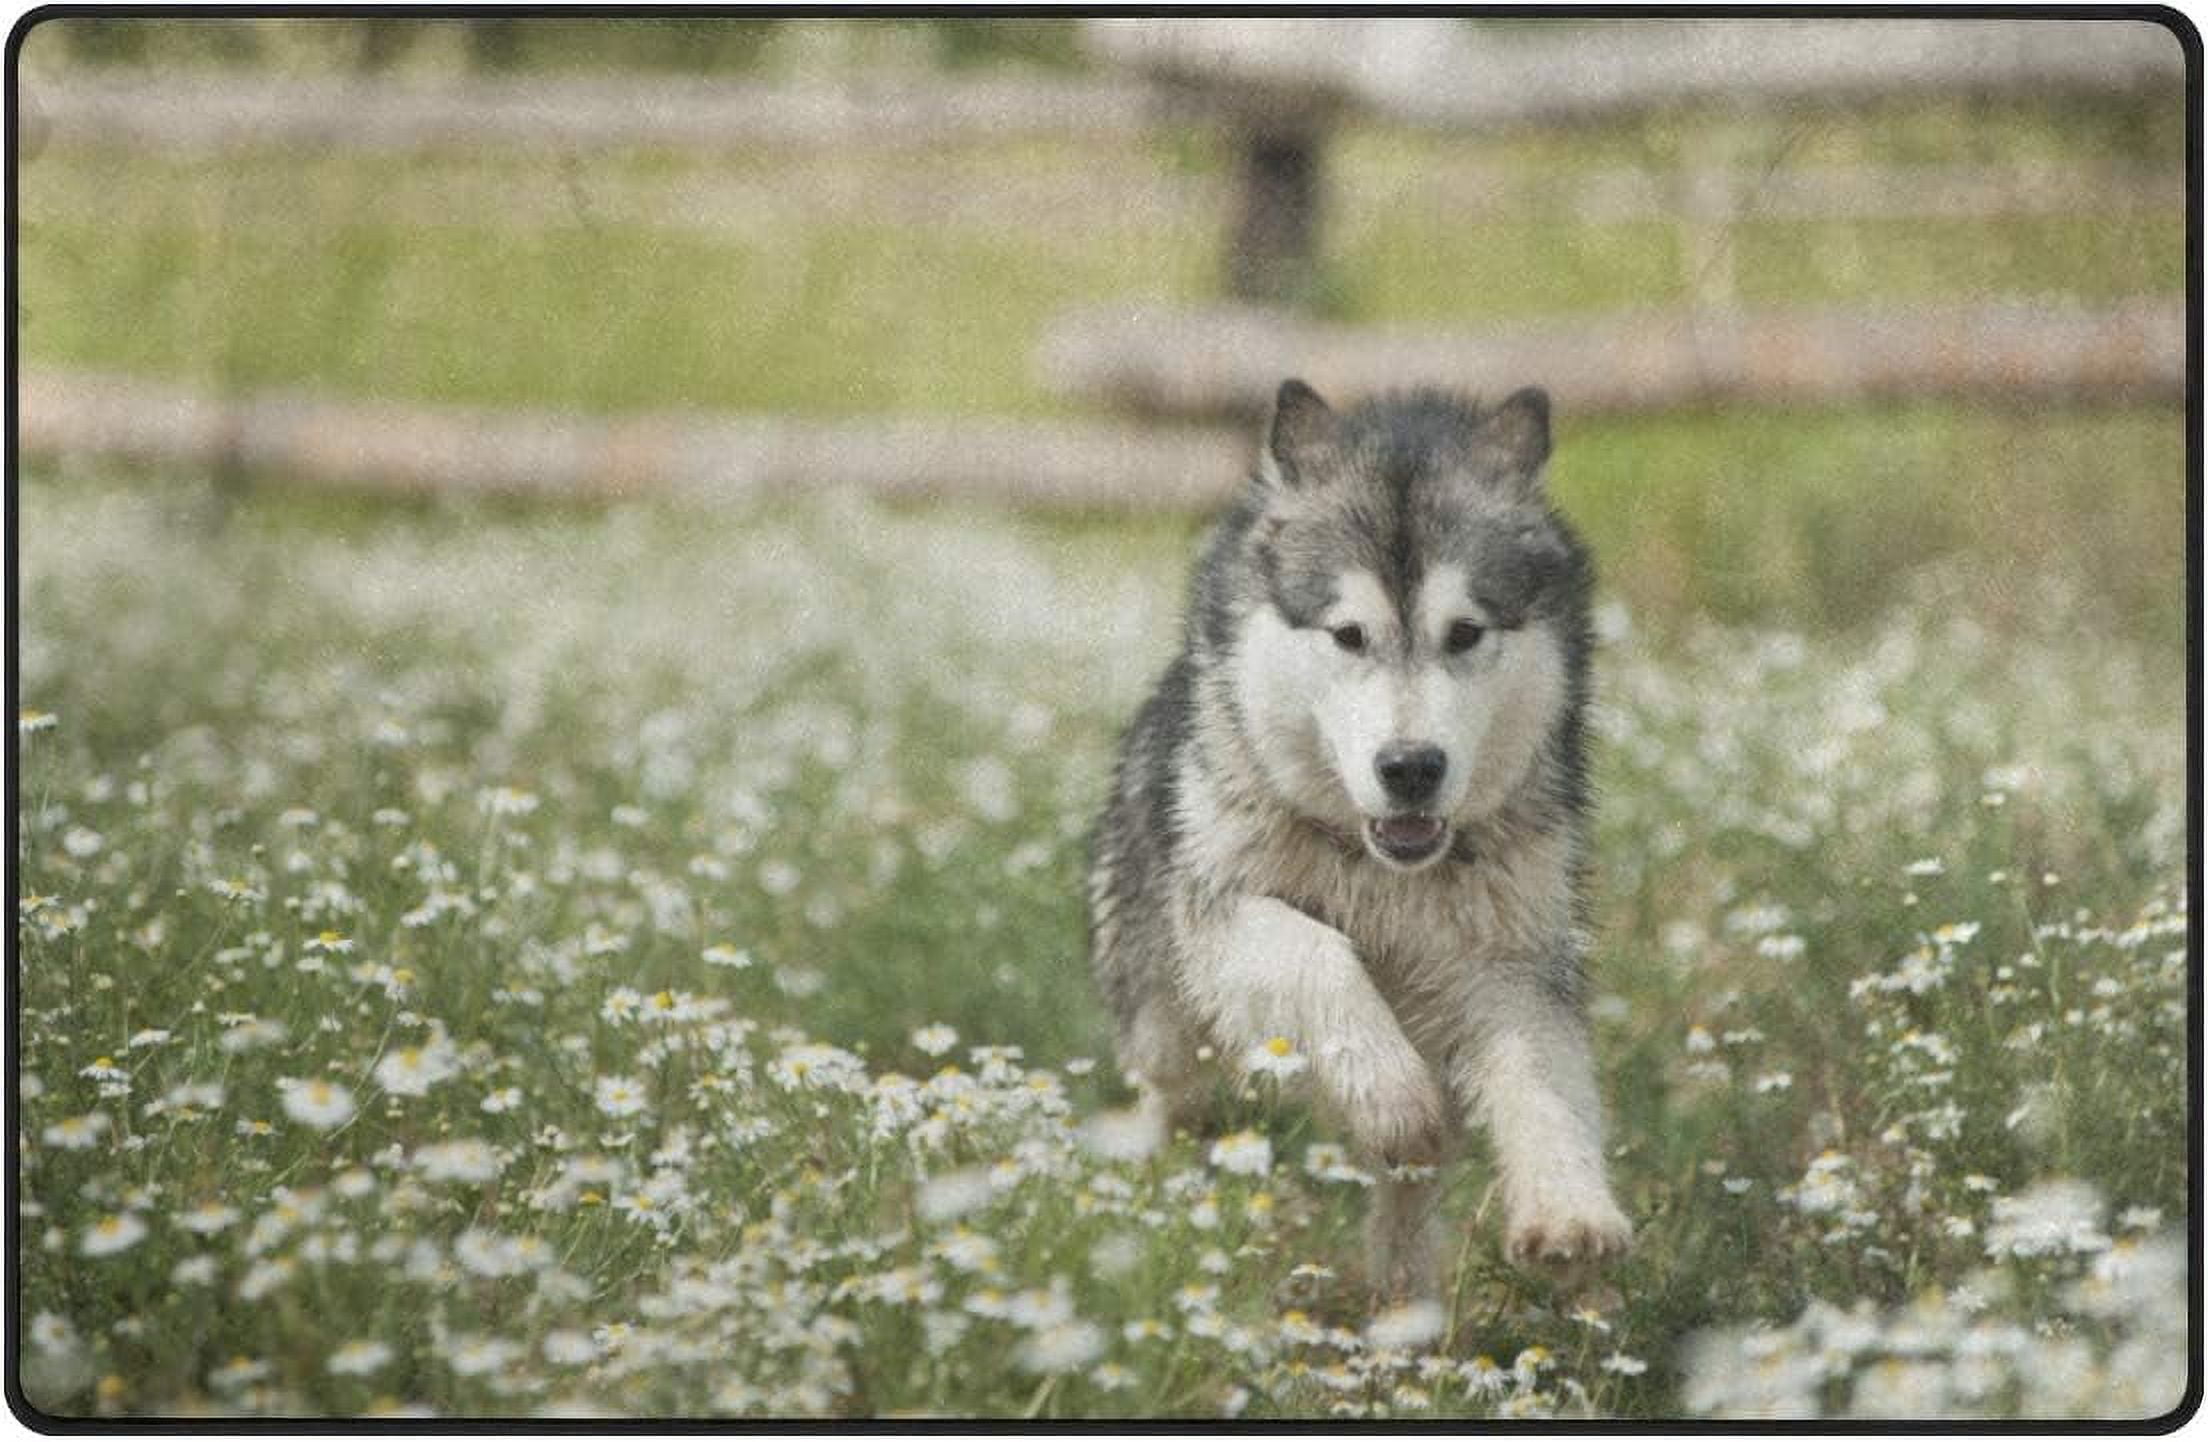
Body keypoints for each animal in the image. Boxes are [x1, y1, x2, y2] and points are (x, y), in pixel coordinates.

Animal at [1088, 379, 1630, 1299]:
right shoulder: (1223, 911)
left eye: (1465, 632)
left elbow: (1545, 1077)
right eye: (1347, 634)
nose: (1410, 767)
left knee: (1413, 1179)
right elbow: (1317, 951)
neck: (1387, 874)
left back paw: (1402, 1293)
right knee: (1173, 1094)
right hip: (1162, 1009)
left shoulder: (1513, 956)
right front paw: (1388, 1089)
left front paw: (1567, 1209)